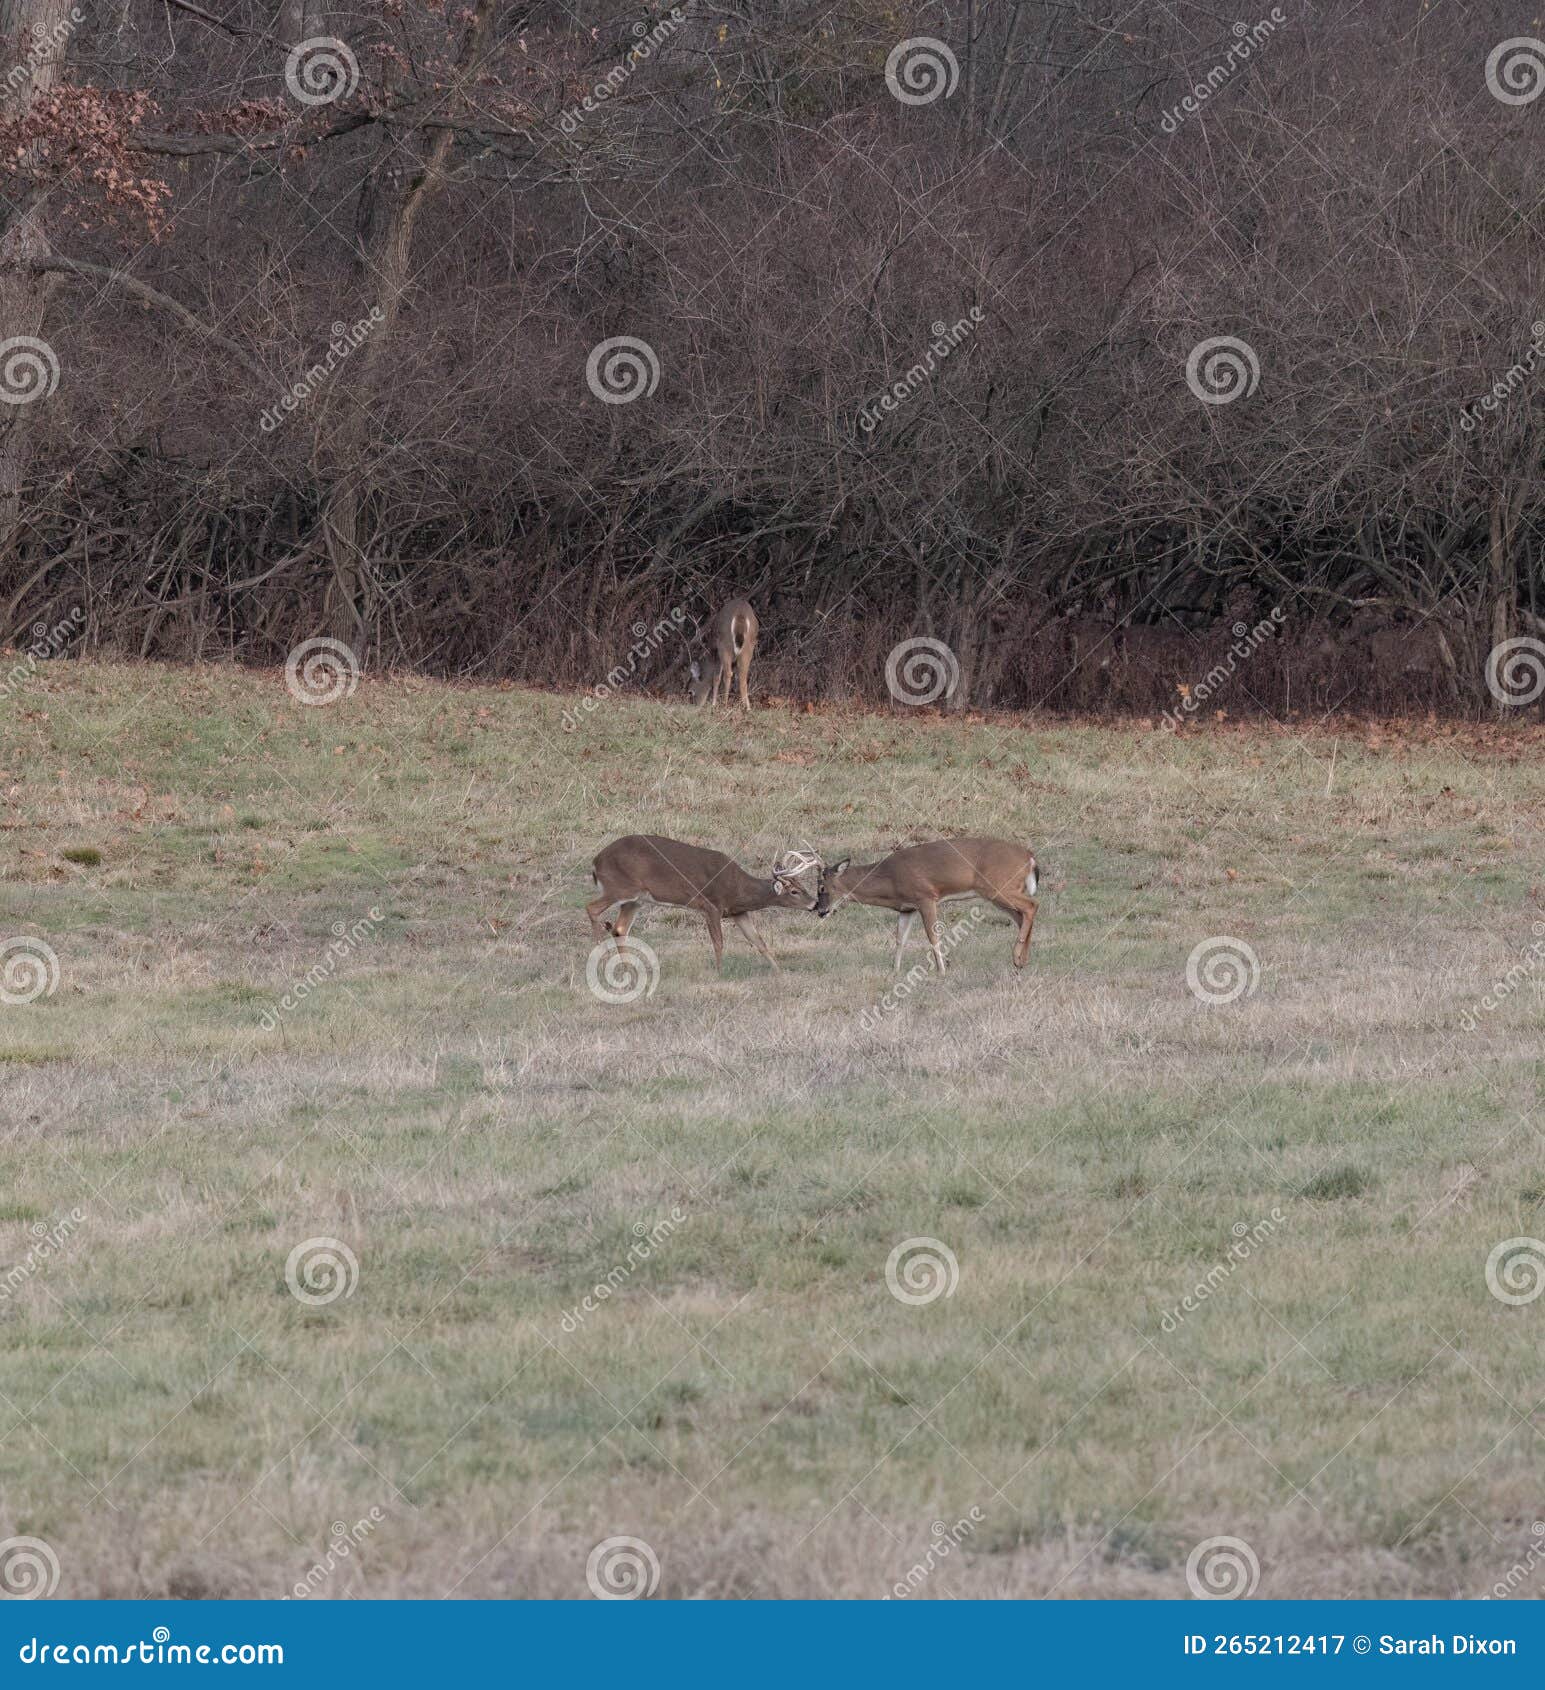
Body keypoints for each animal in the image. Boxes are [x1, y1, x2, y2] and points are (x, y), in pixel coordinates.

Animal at [587, 836, 818, 972]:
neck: (737, 888)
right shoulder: (710, 906)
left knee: (619, 929)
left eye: (802, 885)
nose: (815, 904)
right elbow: (718, 942)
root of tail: (596, 861)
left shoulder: (737, 911)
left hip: (635, 900)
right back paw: (599, 956)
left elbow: (758, 941)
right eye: (795, 891)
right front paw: (719, 972)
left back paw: (626, 967)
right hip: (620, 888)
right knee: (592, 908)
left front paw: (779, 972)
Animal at [810, 837, 1040, 973]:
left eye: (821, 887)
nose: (820, 911)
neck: (890, 880)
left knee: (1032, 905)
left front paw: (941, 970)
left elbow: (932, 936)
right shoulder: (907, 908)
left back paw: (1017, 955)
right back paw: (1022, 961)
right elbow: (900, 939)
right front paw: (895, 971)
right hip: (1001, 893)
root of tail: (1030, 858)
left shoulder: (926, 897)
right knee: (1022, 916)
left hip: (999, 887)